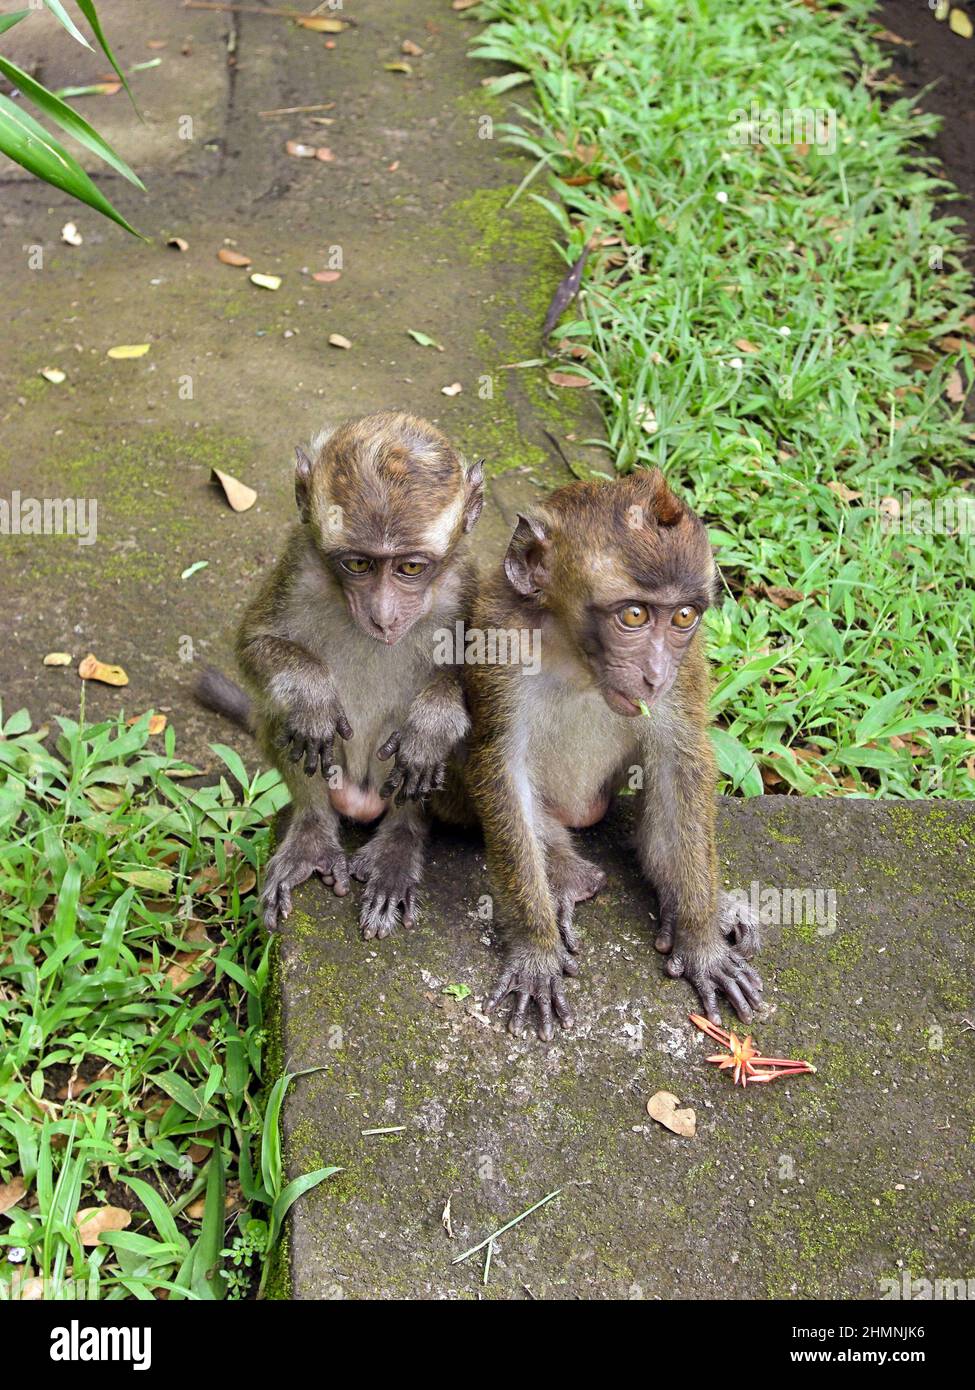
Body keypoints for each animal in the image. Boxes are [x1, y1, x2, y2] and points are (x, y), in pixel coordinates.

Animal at [195, 411, 483, 940]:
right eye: (358, 563)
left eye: (412, 567)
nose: (384, 617)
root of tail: (360, 800)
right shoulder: (298, 562)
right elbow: (254, 646)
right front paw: (312, 695)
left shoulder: (466, 583)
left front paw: (433, 720)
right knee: (284, 713)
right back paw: (313, 827)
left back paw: (399, 841)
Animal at [463, 469, 761, 1041]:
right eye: (634, 614)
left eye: (683, 616)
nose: (655, 674)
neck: (577, 656)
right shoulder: (497, 639)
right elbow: (500, 769)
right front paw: (536, 950)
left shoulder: (688, 664)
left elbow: (681, 759)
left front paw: (702, 942)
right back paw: (565, 878)